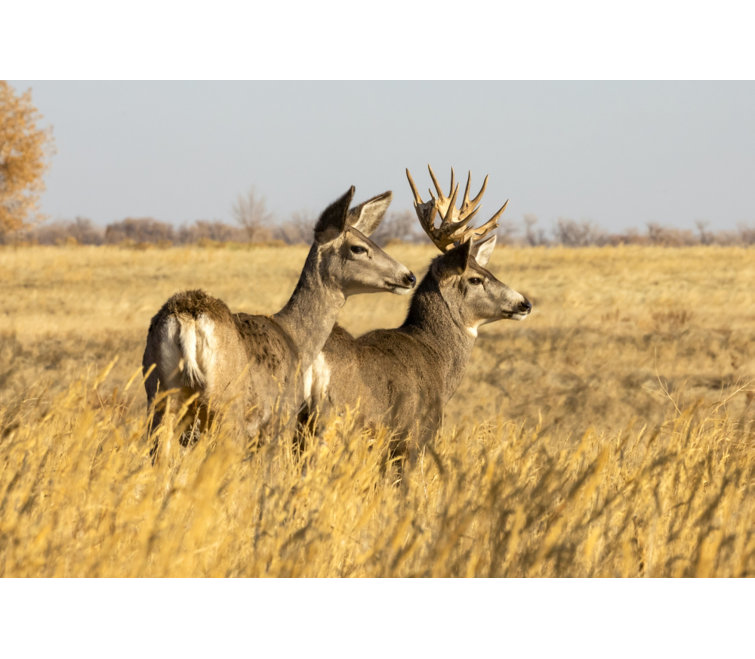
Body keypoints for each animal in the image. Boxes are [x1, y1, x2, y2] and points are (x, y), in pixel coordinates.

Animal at [142, 186, 417, 452]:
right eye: (358, 247)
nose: (409, 276)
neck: (296, 340)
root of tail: (188, 317)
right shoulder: (283, 413)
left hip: (159, 397)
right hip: (226, 405)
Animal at [299, 166, 532, 463]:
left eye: (489, 271)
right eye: (475, 279)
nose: (525, 303)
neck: (436, 356)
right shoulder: (413, 437)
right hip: (331, 423)